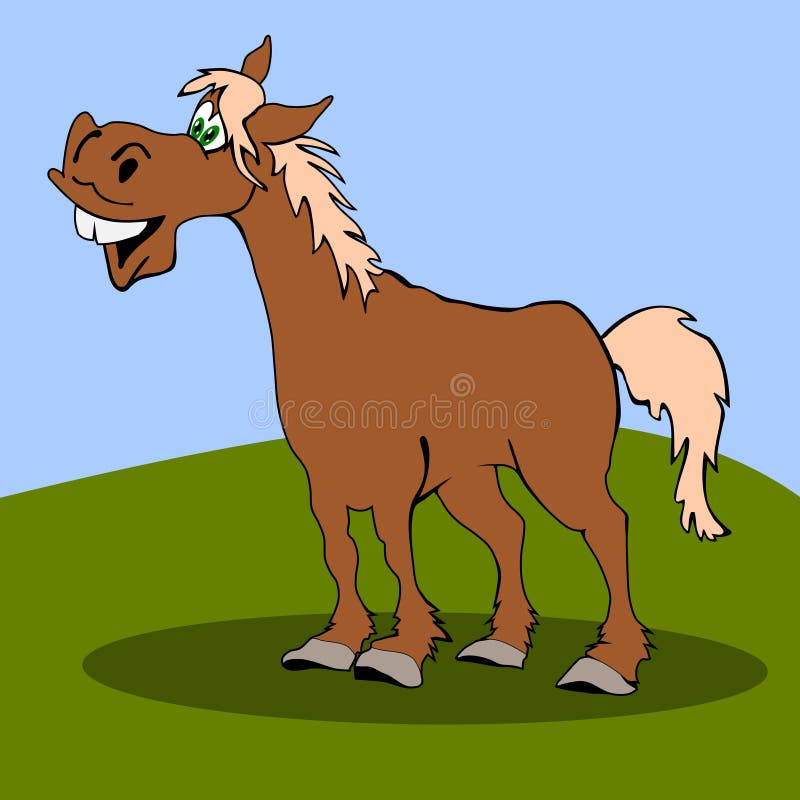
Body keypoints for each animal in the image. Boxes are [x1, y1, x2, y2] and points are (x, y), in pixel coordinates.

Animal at [49, 36, 729, 693]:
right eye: (192, 117)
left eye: (209, 132)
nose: (94, 153)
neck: (344, 328)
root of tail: (598, 339)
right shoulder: (323, 478)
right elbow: (340, 553)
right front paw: (334, 644)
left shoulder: (395, 480)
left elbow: (397, 553)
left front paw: (397, 653)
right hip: (468, 476)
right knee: (509, 531)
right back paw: (502, 646)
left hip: (559, 470)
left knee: (607, 528)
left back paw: (608, 664)